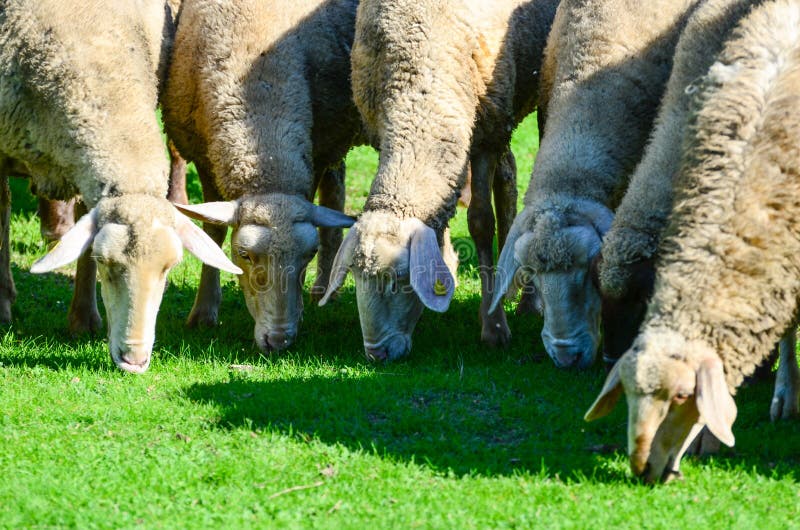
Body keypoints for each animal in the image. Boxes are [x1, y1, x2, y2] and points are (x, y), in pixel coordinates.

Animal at [162, 0, 362, 353]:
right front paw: (203, 312)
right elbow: (214, 232)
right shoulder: (205, 154)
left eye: (307, 255)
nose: (279, 340)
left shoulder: (311, 155)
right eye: (244, 255)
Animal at [318, 0, 559, 361]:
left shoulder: (485, 134)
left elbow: (480, 223)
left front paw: (494, 326)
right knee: (508, 179)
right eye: (356, 278)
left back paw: (529, 301)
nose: (377, 353)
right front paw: (444, 279)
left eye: (399, 280)